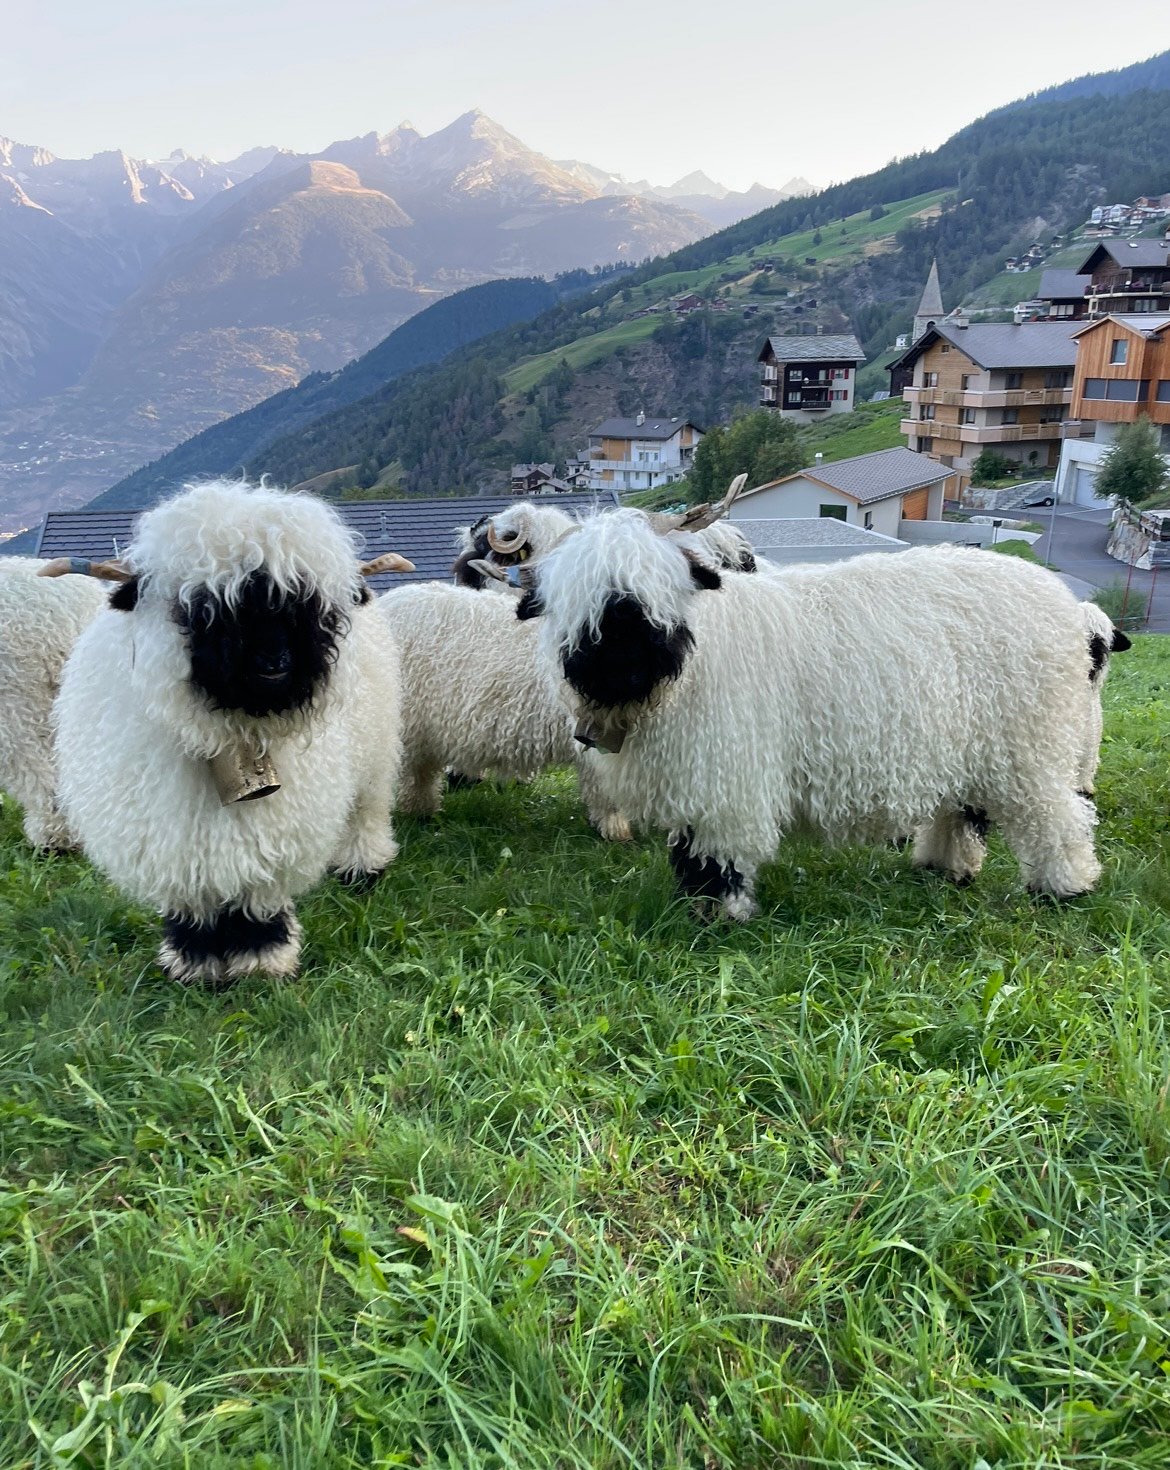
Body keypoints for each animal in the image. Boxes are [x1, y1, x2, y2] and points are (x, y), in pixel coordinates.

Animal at [47, 479, 413, 987]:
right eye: (206, 609)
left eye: (308, 608)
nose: (276, 661)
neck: (232, 736)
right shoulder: (172, 836)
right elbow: (193, 903)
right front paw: (195, 964)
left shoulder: (274, 829)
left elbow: (257, 896)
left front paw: (261, 961)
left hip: (374, 754)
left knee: (366, 813)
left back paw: (362, 867)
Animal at [517, 509, 1103, 919]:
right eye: (579, 600)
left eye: (659, 588)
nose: (626, 665)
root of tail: (1060, 600)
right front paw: (699, 908)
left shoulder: (727, 773)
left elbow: (715, 854)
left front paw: (717, 915)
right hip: (975, 742)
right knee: (964, 810)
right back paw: (946, 868)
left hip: (1029, 744)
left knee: (1056, 815)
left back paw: (1064, 887)